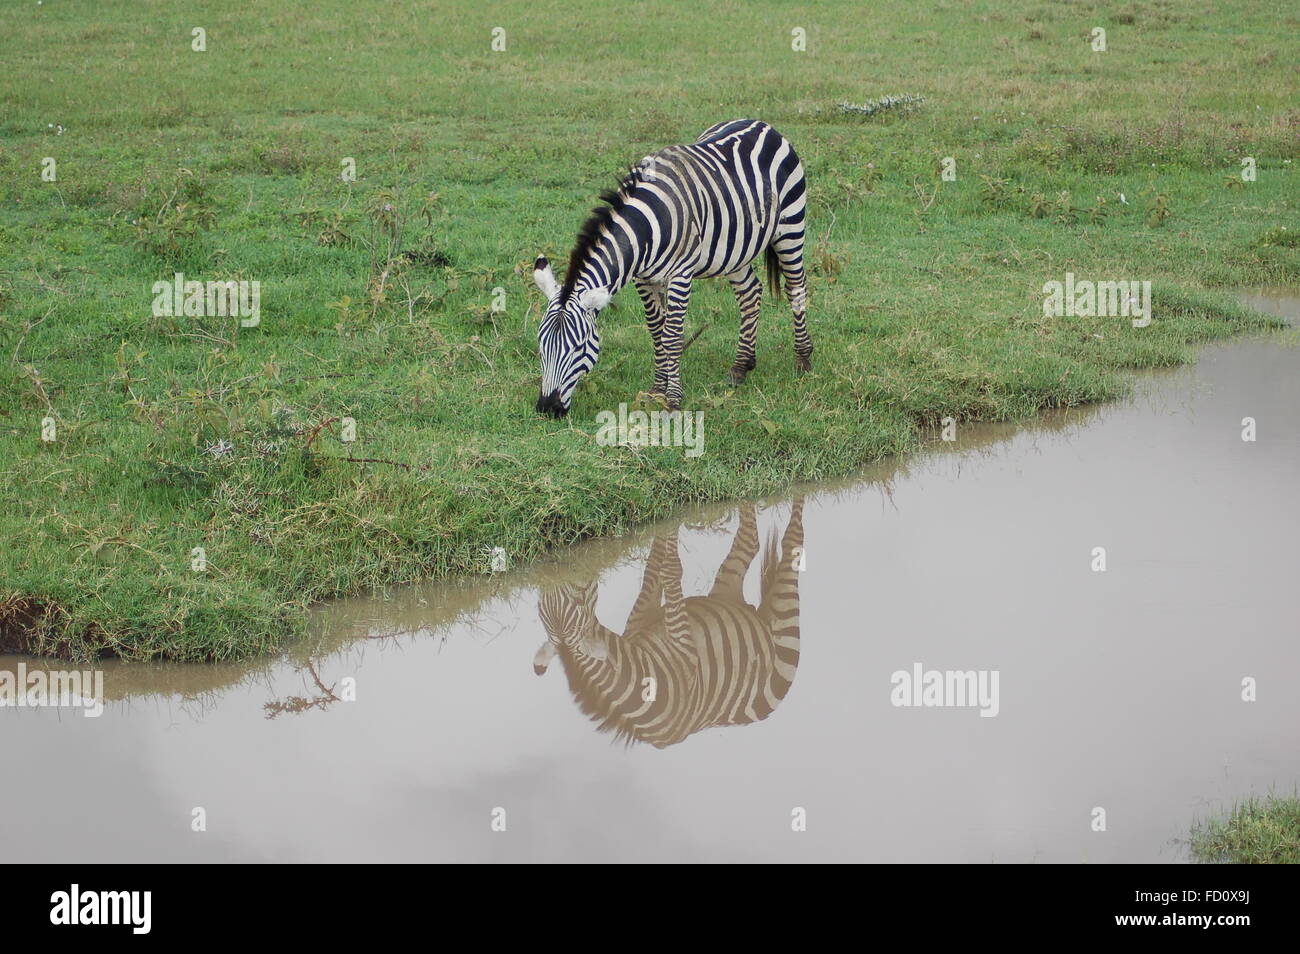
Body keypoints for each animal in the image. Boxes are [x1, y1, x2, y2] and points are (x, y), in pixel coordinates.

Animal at [532, 119, 813, 418]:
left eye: (579, 347)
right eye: (540, 345)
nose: (547, 408)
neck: (646, 226)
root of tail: (758, 123)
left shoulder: (681, 274)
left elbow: (673, 337)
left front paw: (674, 399)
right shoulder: (643, 278)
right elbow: (657, 331)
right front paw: (658, 388)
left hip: (790, 228)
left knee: (796, 288)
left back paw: (803, 359)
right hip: (736, 248)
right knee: (750, 292)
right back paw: (741, 366)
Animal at [532, 499, 805, 748]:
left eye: (578, 598)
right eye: (539, 603)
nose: (563, 573)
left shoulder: (685, 652)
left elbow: (667, 566)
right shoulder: (645, 621)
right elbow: (657, 566)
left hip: (785, 625)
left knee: (794, 541)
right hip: (727, 597)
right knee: (750, 543)